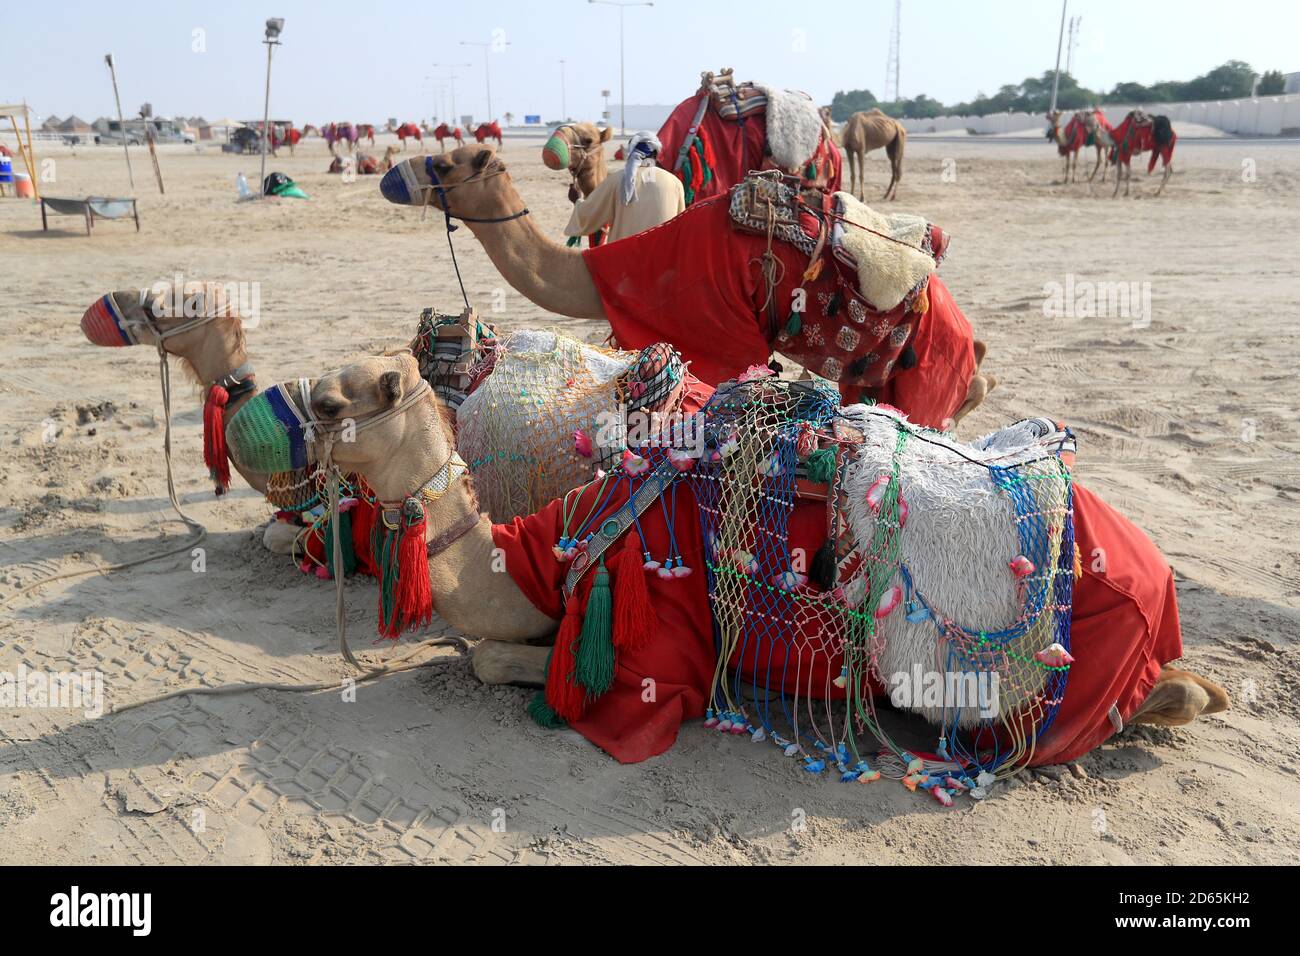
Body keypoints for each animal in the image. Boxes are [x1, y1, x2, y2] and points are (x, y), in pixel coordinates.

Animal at [290, 351, 1229, 743]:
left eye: (333, 404)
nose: (294, 425)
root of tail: (1158, 577)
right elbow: (483, 648)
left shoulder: (657, 645)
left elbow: (509, 661)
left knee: (1150, 699)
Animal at [380, 145, 997, 426]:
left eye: (446, 162)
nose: (390, 177)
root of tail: (973, 345)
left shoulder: (718, 338)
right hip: (875, 379)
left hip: (925, 377)